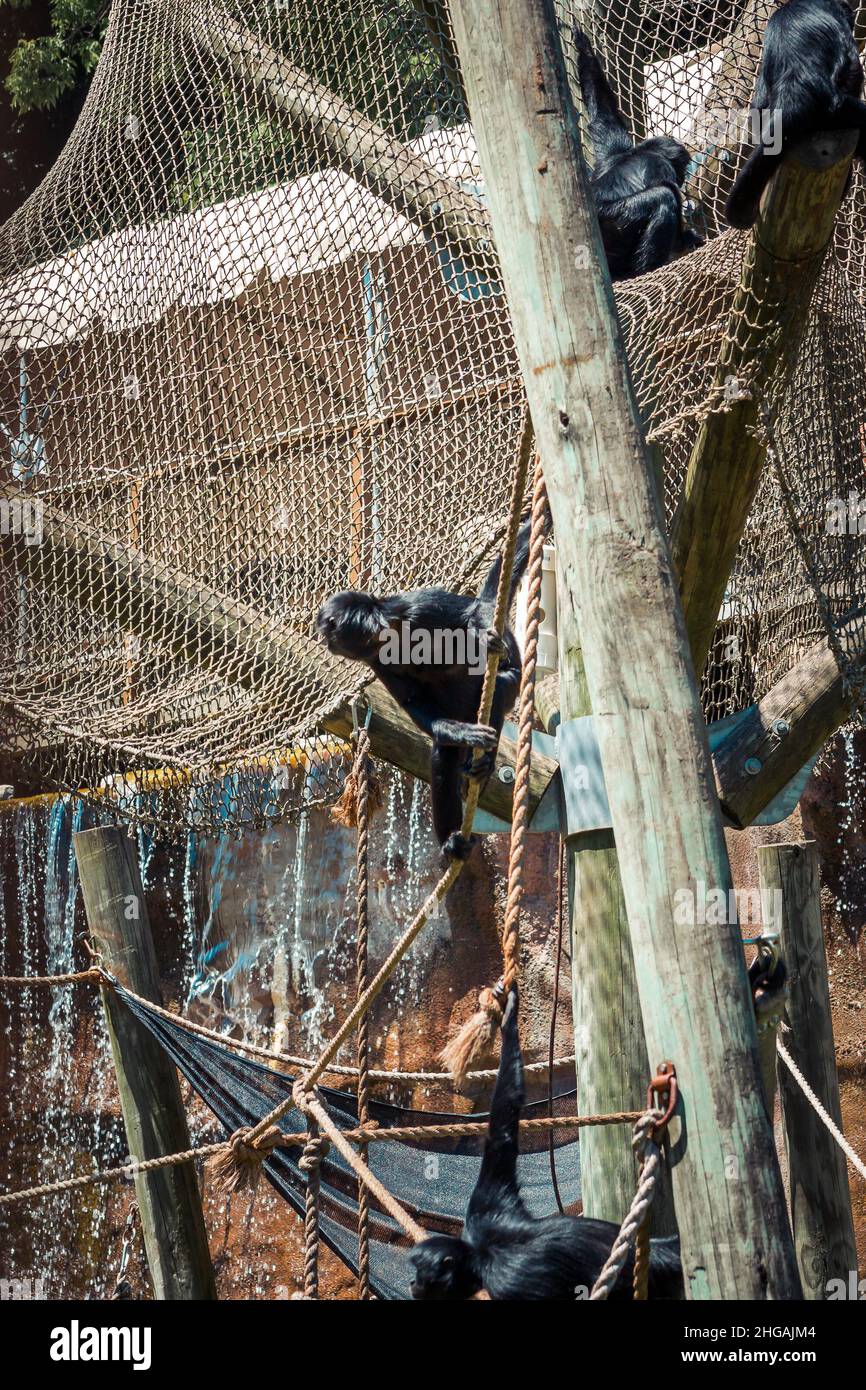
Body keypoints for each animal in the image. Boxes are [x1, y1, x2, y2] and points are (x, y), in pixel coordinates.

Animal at [317, 517, 542, 860]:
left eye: (328, 632)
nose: (326, 643)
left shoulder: (417, 605)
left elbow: (471, 612)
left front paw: (481, 637)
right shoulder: (375, 660)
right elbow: (414, 702)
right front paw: (459, 733)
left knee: (500, 682)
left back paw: (484, 764)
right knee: (443, 758)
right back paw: (453, 841)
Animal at [408, 986, 684, 1300]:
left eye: (420, 1271)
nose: (412, 1282)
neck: (481, 1253)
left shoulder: (508, 1282)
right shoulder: (486, 1207)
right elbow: (504, 1123)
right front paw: (509, 1016)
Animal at [573, 28, 704, 279]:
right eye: (681, 168)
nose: (683, 175)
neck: (640, 151)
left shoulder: (613, 149)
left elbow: (602, 116)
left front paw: (583, 46)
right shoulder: (660, 166)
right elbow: (669, 193)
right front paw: (686, 238)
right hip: (614, 220)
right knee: (663, 197)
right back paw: (646, 270)